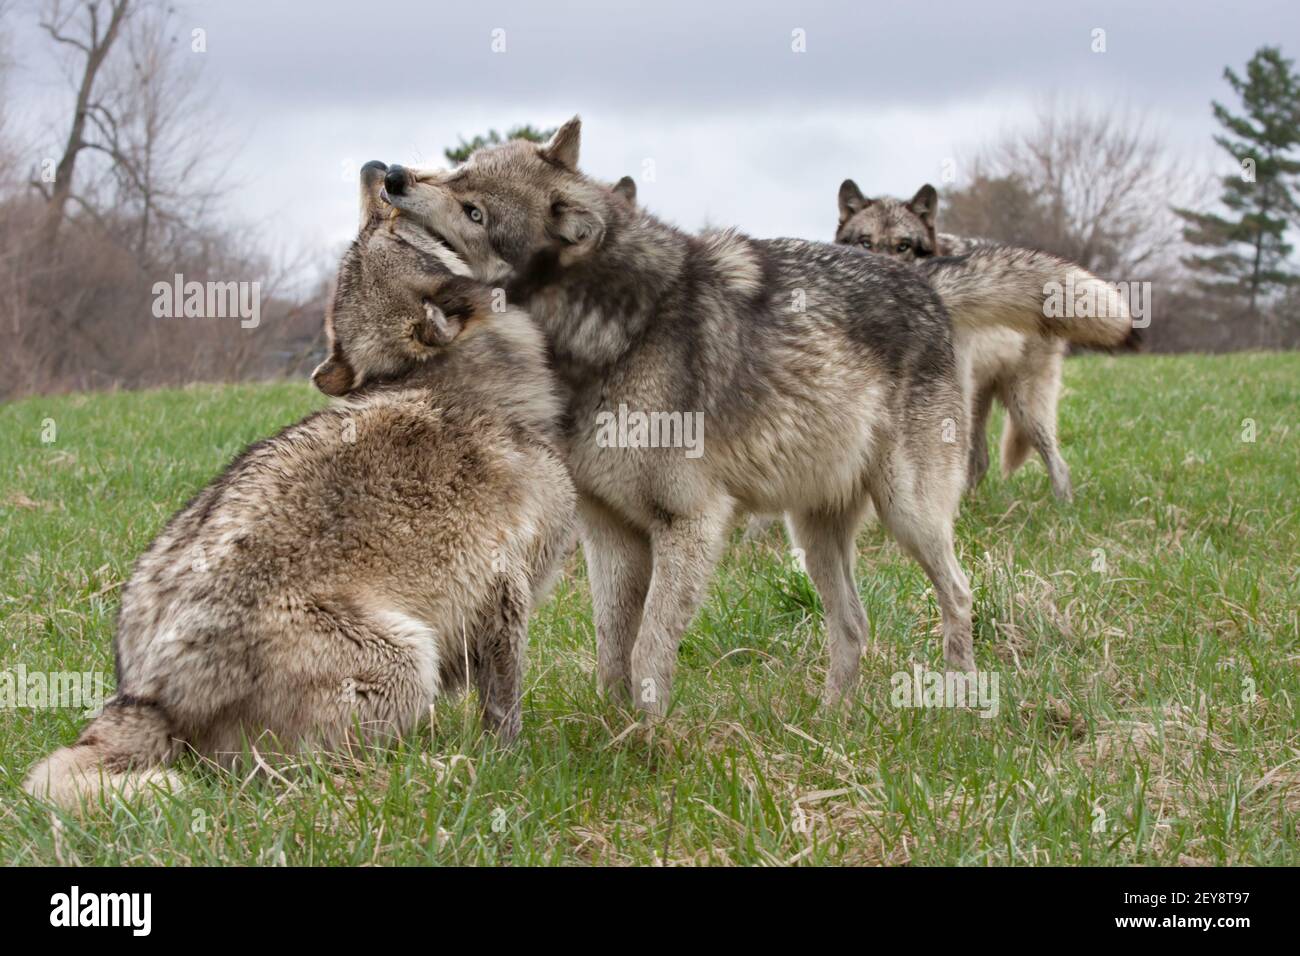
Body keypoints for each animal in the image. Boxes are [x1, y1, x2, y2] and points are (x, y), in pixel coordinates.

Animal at [24, 163, 575, 809]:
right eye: (388, 226)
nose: (379, 172)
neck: (455, 376)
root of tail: (145, 695)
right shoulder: (505, 592)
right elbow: (504, 705)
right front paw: (507, 764)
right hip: (406, 662)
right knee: (301, 777)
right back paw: (436, 770)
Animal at [837, 180, 1073, 499]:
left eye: (903, 246)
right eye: (865, 243)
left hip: (1024, 405)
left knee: (1058, 464)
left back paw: (1063, 504)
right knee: (980, 461)